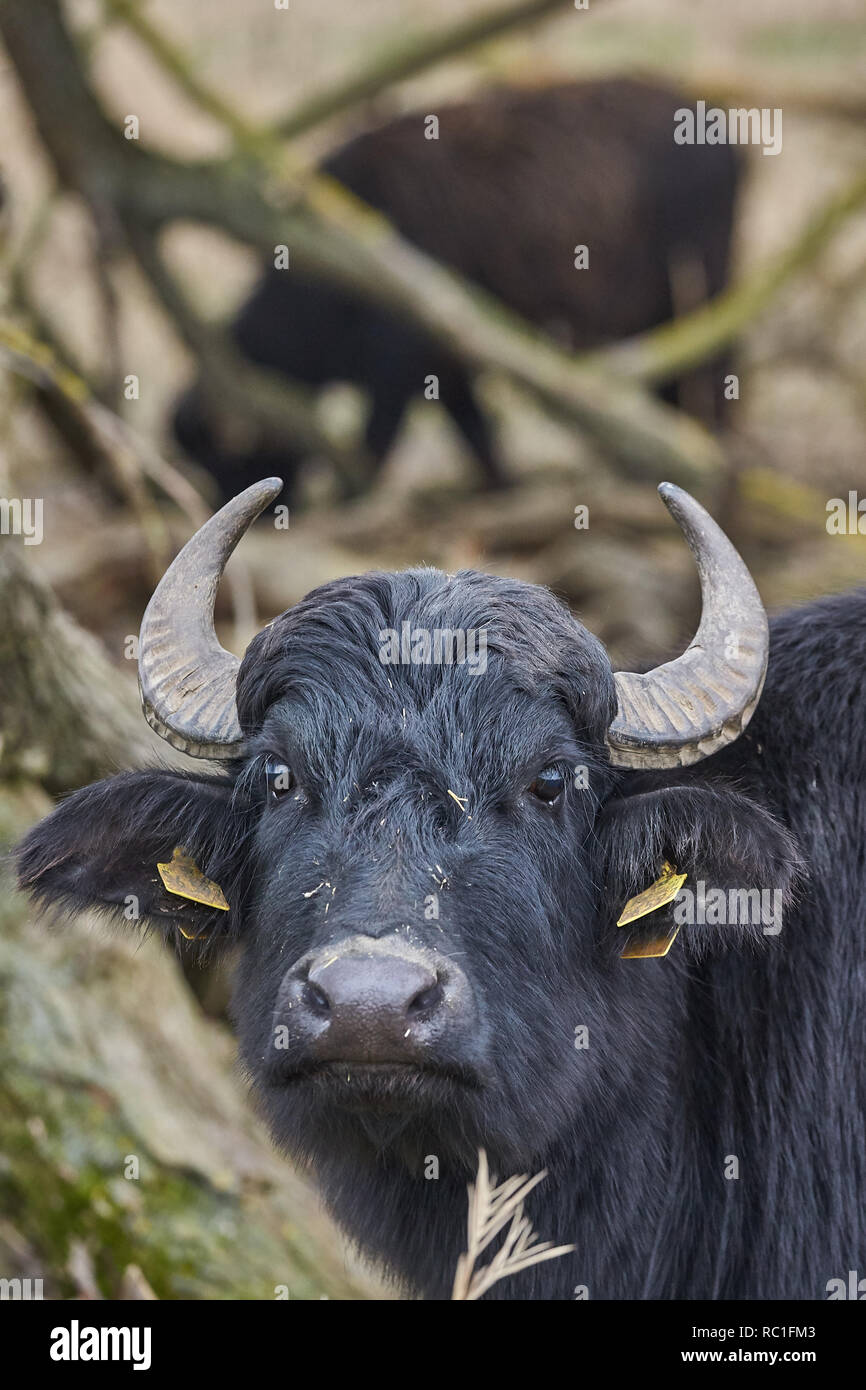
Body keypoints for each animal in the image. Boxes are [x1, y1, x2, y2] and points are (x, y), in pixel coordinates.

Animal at [172, 78, 739, 503]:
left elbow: (374, 447)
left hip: (698, 294)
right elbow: (477, 433)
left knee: (713, 382)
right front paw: (502, 487)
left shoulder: (397, 365)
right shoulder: (446, 366)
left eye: (227, 463)